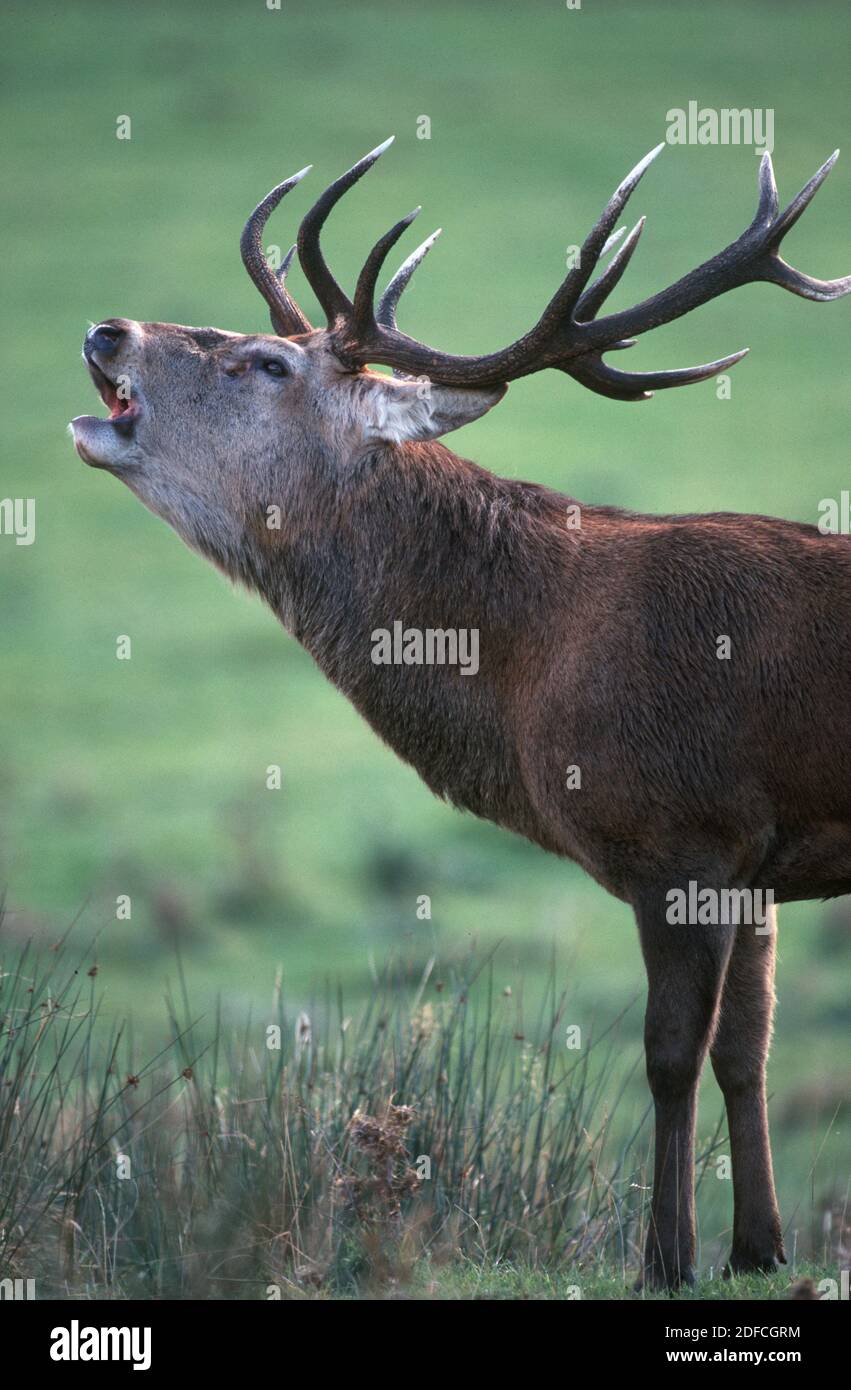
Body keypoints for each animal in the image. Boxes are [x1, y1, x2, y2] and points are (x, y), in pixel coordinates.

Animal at [70, 139, 850, 1290]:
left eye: (266, 363)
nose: (106, 329)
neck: (528, 672)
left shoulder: (681, 833)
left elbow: (669, 1058)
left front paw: (663, 1259)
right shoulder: (755, 863)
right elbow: (743, 1052)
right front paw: (758, 1249)